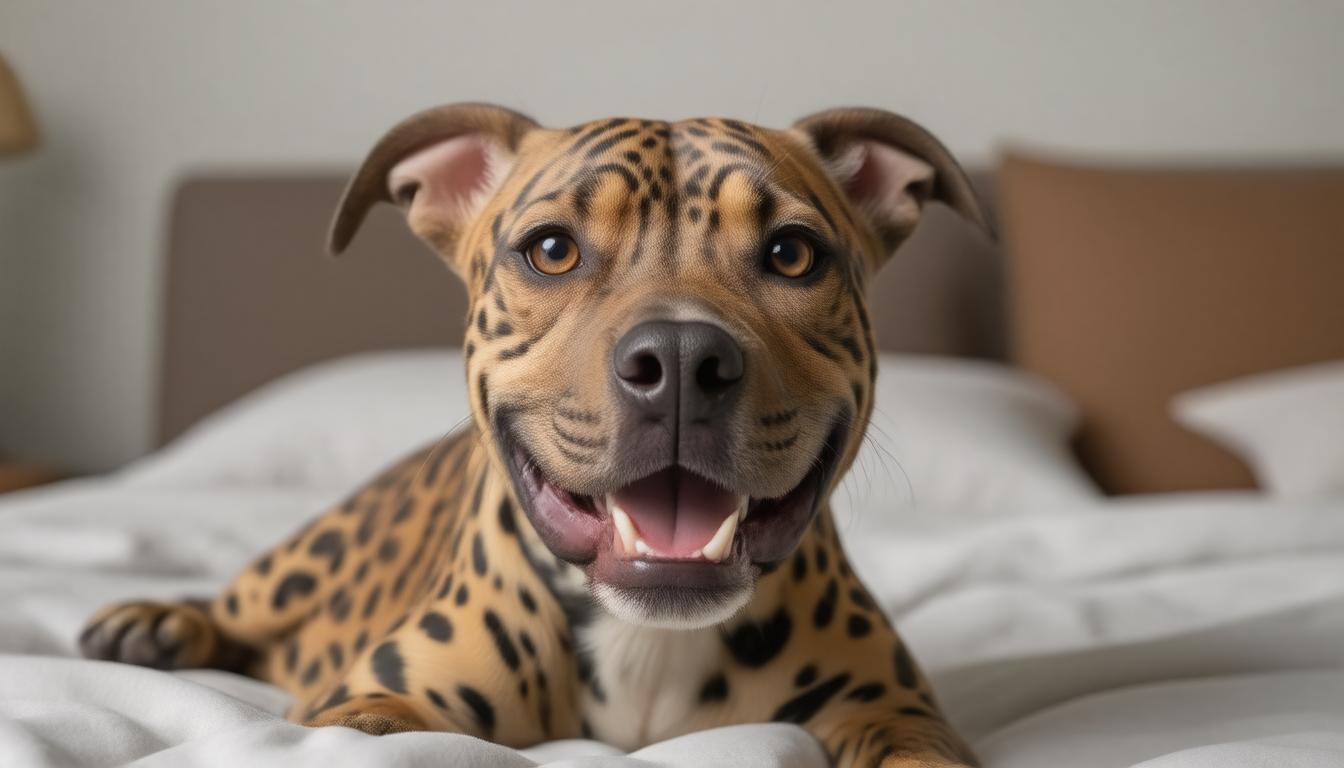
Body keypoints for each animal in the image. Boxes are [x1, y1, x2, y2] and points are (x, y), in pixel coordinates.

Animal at [80, 103, 992, 767]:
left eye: (793, 254)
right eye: (551, 249)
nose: (681, 357)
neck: (646, 644)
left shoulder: (898, 710)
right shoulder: (374, 698)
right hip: (305, 556)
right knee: (236, 608)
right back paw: (154, 624)